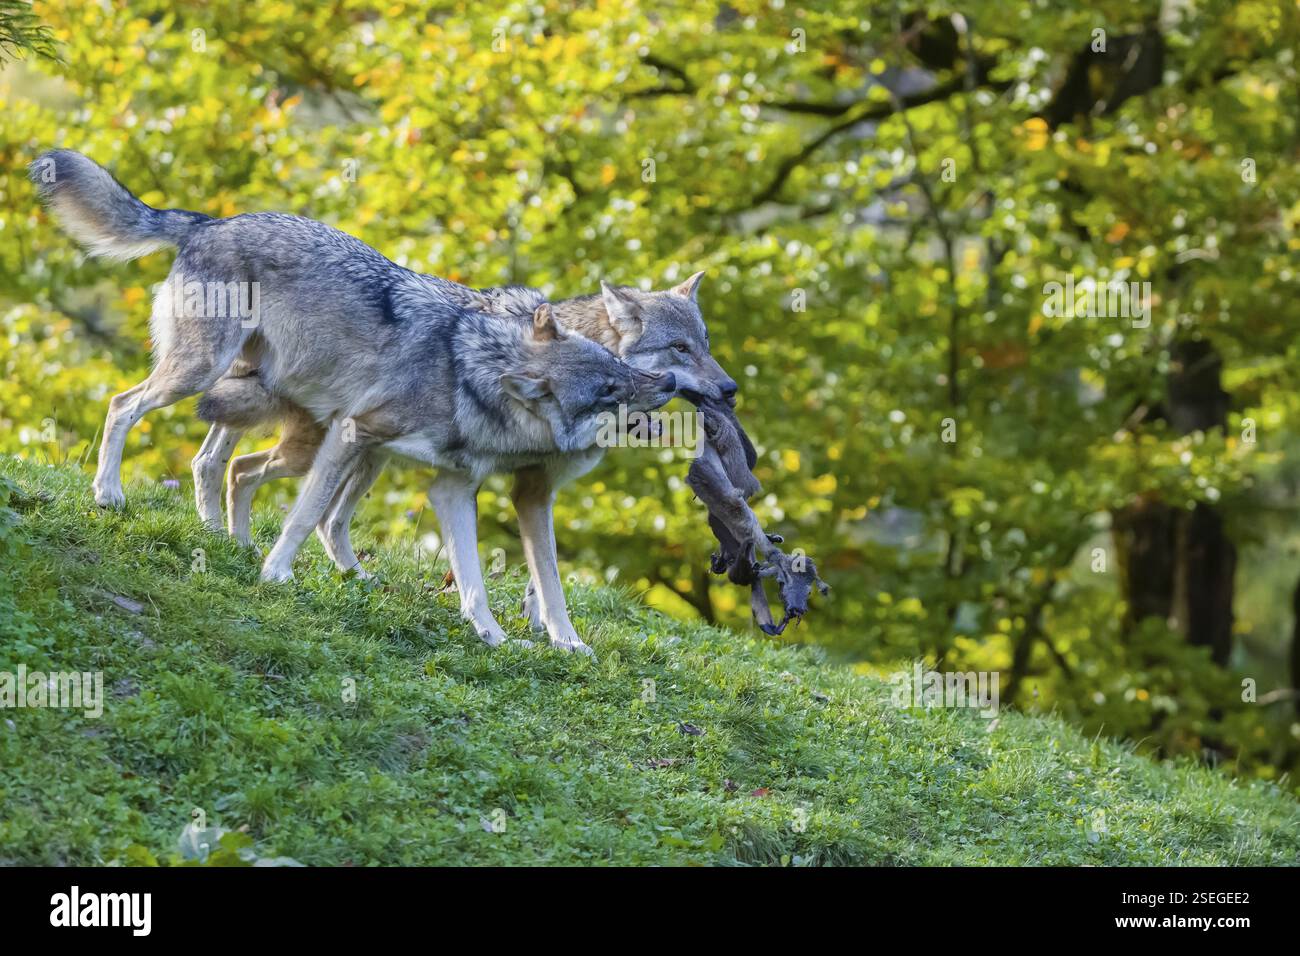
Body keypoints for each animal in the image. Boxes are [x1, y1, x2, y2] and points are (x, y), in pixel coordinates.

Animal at [30, 149, 734, 654]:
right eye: (678, 350)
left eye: (705, 346)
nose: (728, 389)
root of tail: (211, 221)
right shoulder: (518, 489)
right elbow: (549, 578)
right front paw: (563, 640)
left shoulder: (498, 487)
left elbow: (523, 575)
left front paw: (524, 629)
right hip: (210, 383)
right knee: (129, 409)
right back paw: (114, 496)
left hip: (289, 419)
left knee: (229, 470)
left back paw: (237, 545)